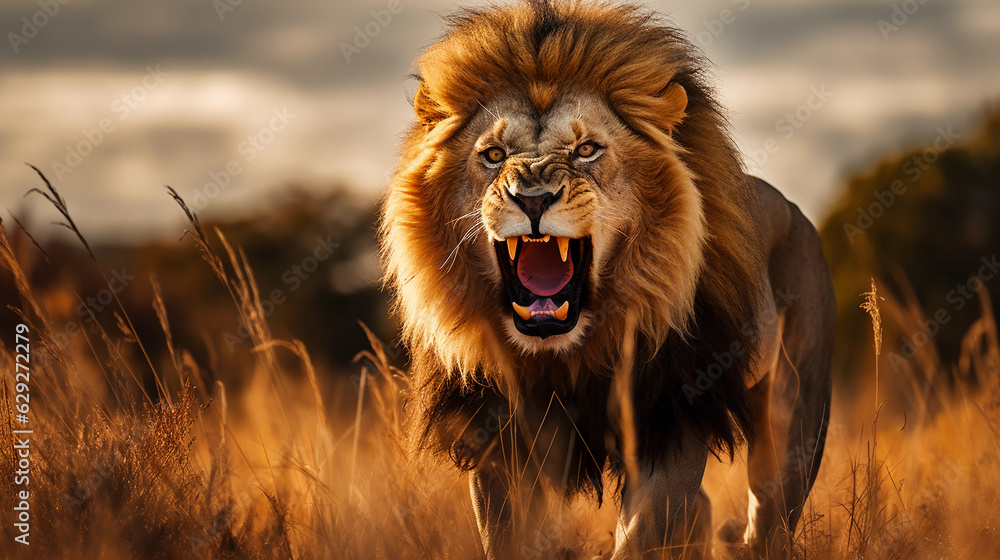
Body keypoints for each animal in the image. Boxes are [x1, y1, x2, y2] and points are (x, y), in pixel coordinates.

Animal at [380, 1, 835, 558]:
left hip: (793, 418)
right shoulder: (497, 437)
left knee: (770, 517)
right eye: (493, 155)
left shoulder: (672, 418)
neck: (566, 354)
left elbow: (641, 535)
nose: (532, 198)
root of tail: (794, 208)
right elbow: (510, 538)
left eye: (586, 150)